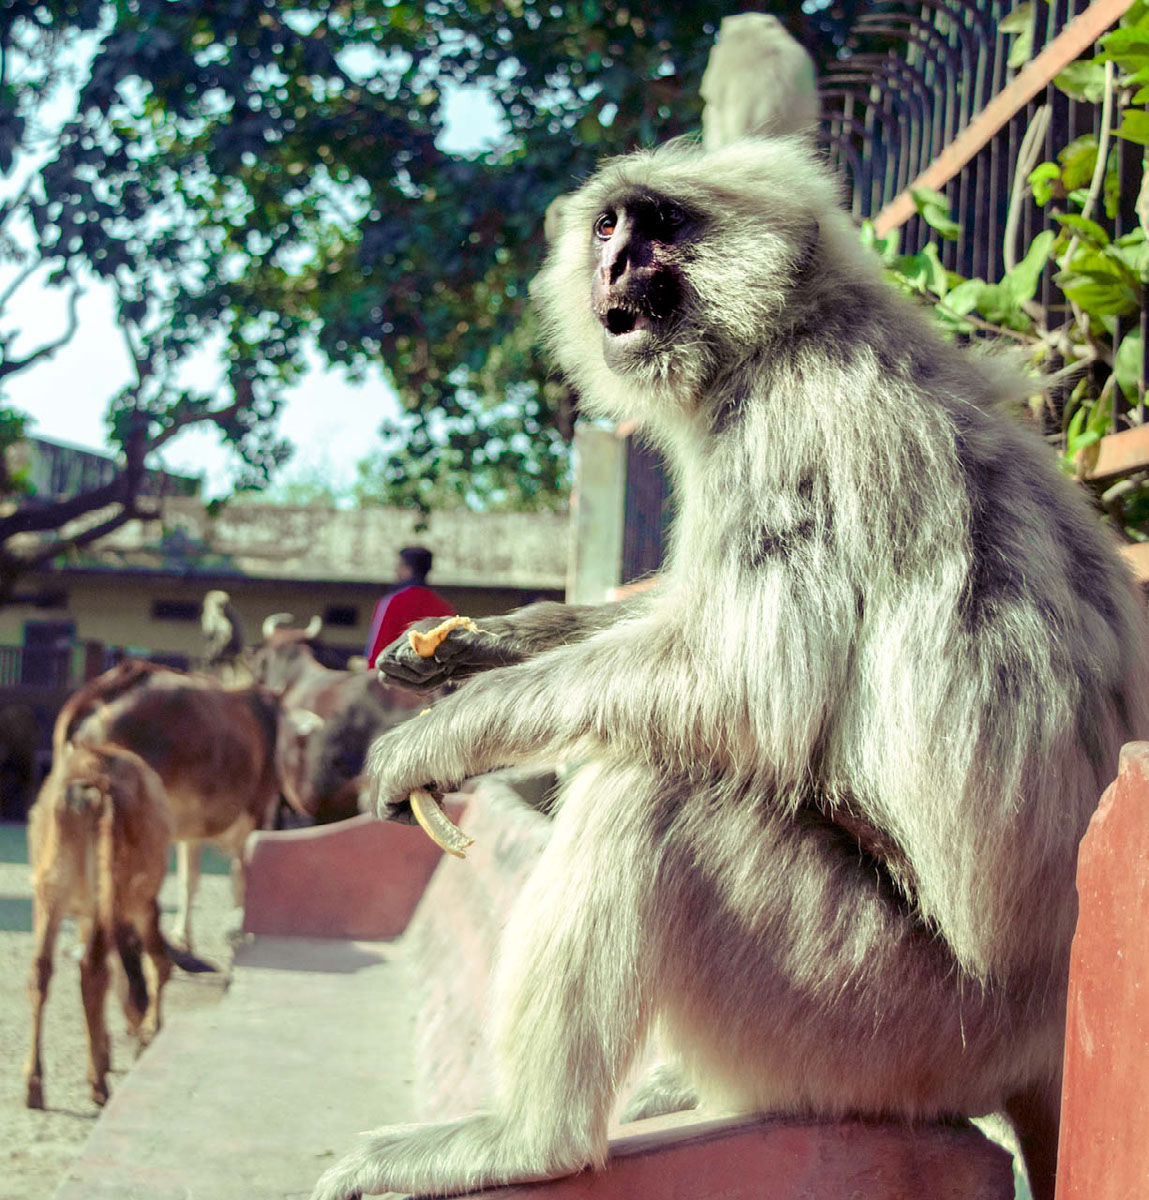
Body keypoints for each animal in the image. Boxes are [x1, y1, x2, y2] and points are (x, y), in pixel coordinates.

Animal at [309, 138, 1149, 1200]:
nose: (614, 263)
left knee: (655, 785)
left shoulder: (788, 425)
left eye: (659, 225)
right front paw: (472, 645)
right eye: (606, 226)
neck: (797, 327)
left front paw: (442, 733)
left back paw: (530, 1138)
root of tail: (1045, 1027)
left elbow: (740, 691)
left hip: (884, 1014)